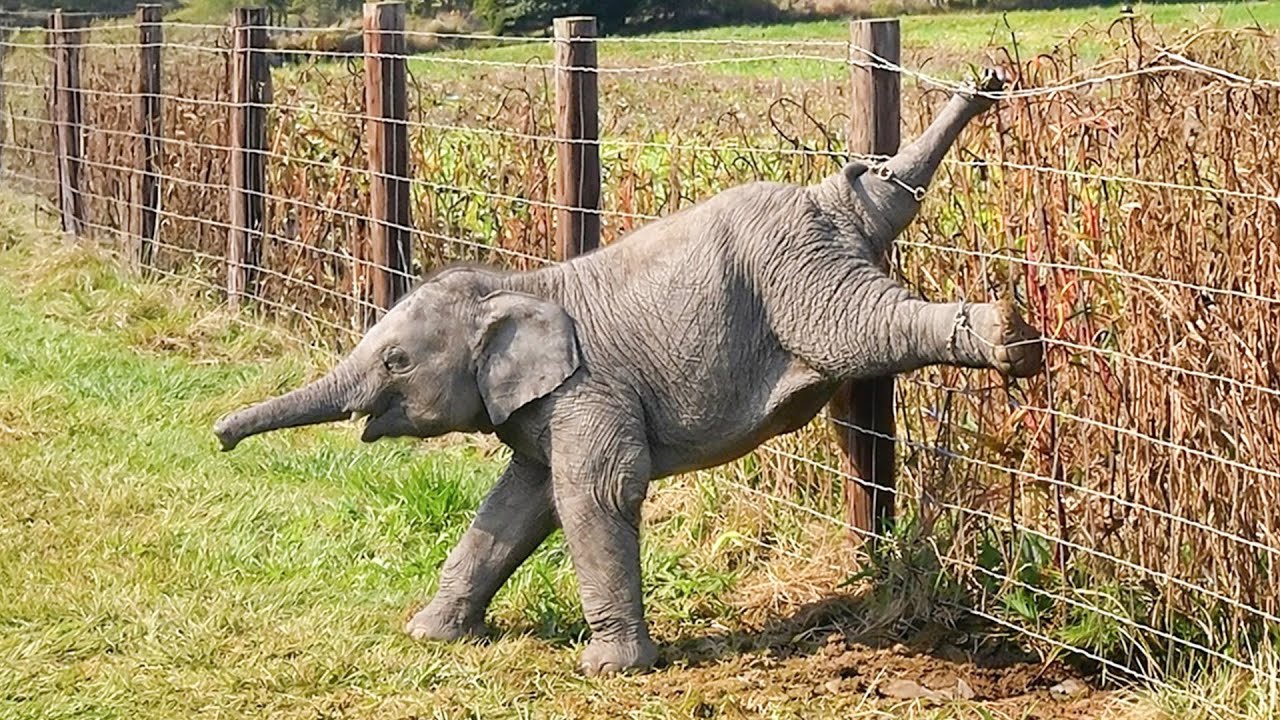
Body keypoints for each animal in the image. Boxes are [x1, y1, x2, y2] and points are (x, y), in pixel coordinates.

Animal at [212, 67, 1043, 676]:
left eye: (396, 360)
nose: (217, 437)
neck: (517, 284)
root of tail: (826, 203)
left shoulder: (588, 392)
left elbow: (598, 492)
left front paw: (609, 672)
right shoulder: (543, 410)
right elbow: (521, 501)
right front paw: (430, 636)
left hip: (802, 281)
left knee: (865, 330)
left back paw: (1012, 337)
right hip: (811, 259)